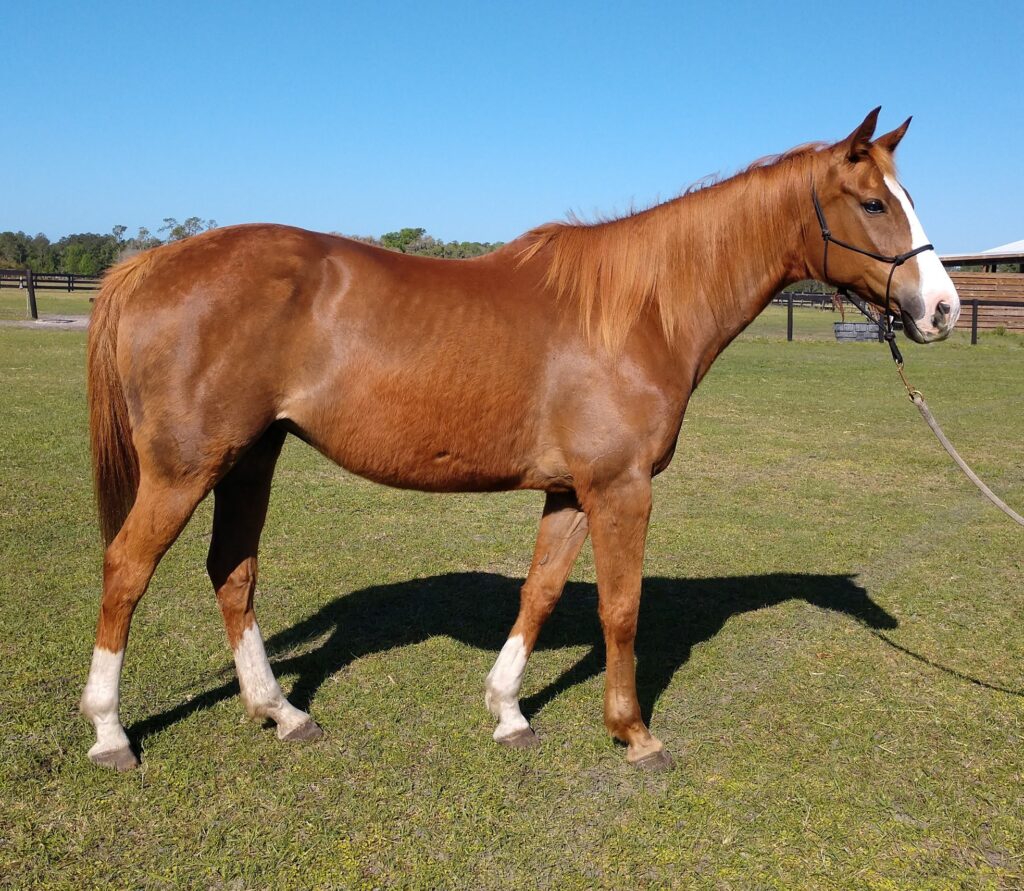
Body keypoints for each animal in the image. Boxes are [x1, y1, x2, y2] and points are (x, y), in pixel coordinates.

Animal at [81, 108, 960, 771]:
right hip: (186, 468)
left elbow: (539, 592)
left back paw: (281, 711)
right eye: (874, 204)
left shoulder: (571, 490)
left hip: (250, 458)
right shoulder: (620, 488)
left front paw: (507, 710)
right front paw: (633, 732)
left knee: (232, 572)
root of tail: (155, 260)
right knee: (126, 569)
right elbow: (620, 607)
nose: (944, 309)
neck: (637, 312)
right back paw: (110, 730)